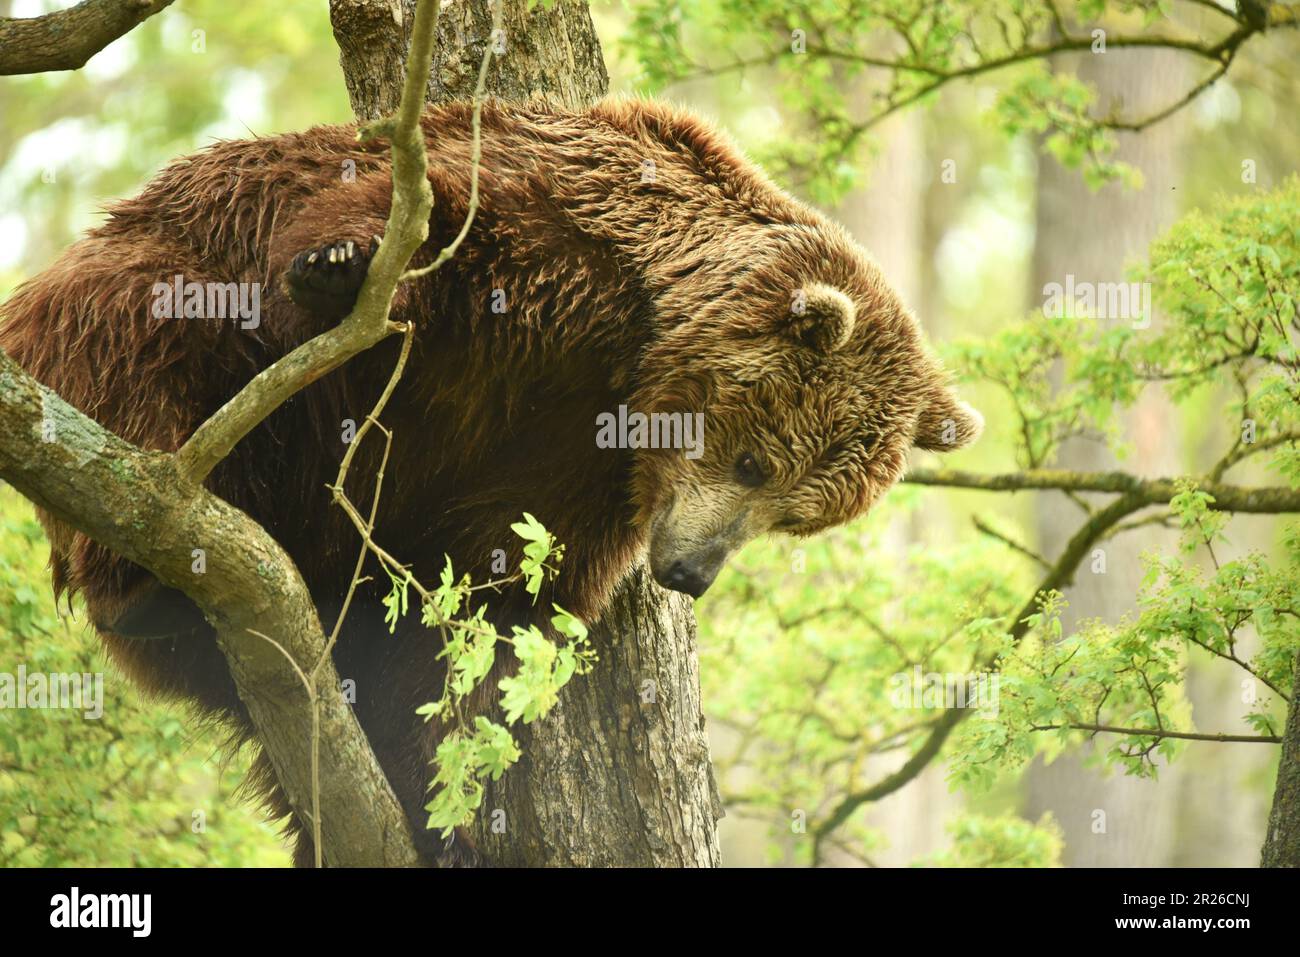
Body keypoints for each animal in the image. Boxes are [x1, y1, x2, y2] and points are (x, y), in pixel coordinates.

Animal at [0, 98, 981, 865]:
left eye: (797, 517)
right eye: (755, 463)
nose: (689, 571)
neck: (631, 352)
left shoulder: (565, 470)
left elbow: (479, 604)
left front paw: (446, 791)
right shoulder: (551, 234)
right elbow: (424, 218)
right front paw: (336, 266)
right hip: (134, 294)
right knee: (138, 343)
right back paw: (149, 566)